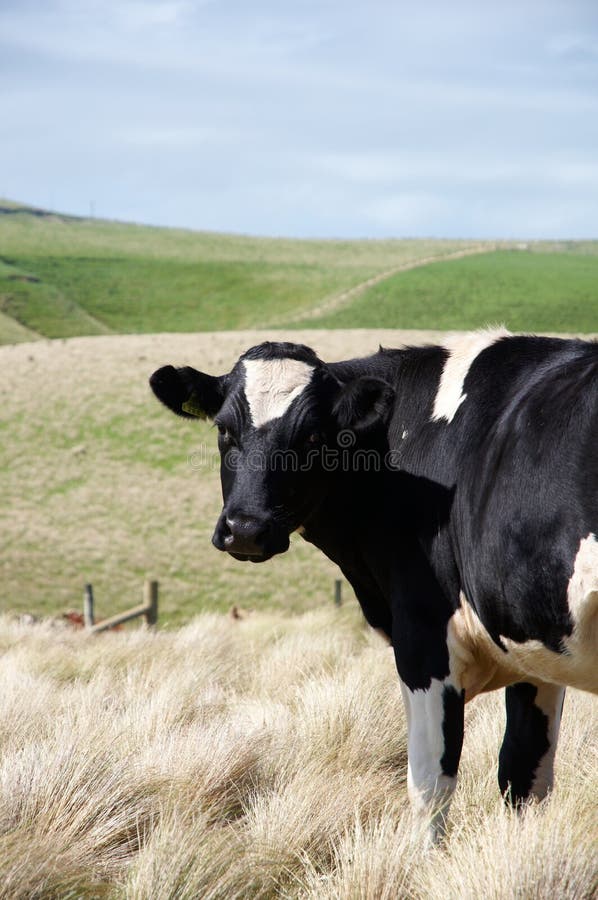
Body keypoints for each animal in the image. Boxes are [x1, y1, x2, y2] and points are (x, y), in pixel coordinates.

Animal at [150, 329, 598, 842]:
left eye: (313, 435)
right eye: (224, 429)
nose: (245, 528)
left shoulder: (425, 637)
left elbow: (430, 786)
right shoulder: (528, 643)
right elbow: (523, 777)